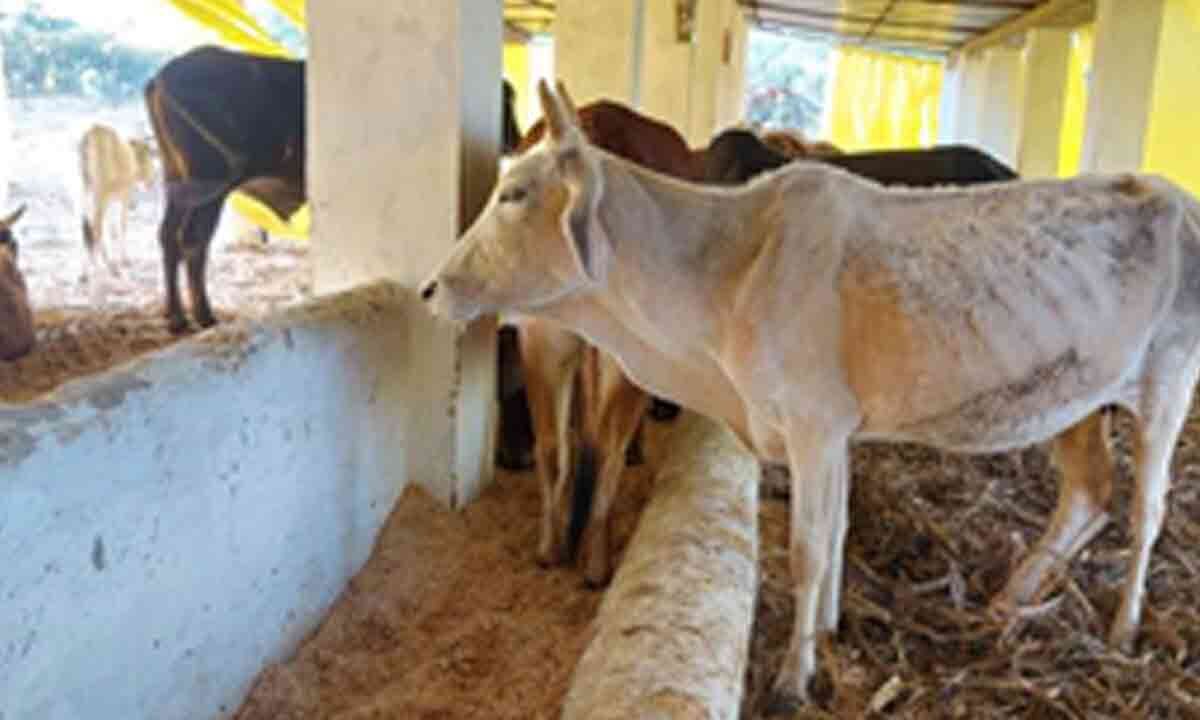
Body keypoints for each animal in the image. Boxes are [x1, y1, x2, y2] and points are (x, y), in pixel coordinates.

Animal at [78, 123, 157, 289]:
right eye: (149, 156)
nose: (152, 181)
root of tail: (91, 134)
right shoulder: (122, 197)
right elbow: (121, 226)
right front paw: (124, 259)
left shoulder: (111, 200)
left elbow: (111, 230)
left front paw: (112, 263)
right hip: (99, 194)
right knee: (96, 229)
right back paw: (97, 275)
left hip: (82, 194)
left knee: (86, 230)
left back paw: (85, 273)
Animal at [422, 79, 1200, 705]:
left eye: (513, 193)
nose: (430, 289)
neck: (730, 266)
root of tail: (1176, 196)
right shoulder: (837, 431)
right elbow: (839, 530)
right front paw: (827, 632)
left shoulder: (814, 427)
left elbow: (810, 550)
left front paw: (793, 680)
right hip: (1077, 401)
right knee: (1089, 493)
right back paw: (1009, 599)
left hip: (1166, 385)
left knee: (1146, 512)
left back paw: (1124, 627)